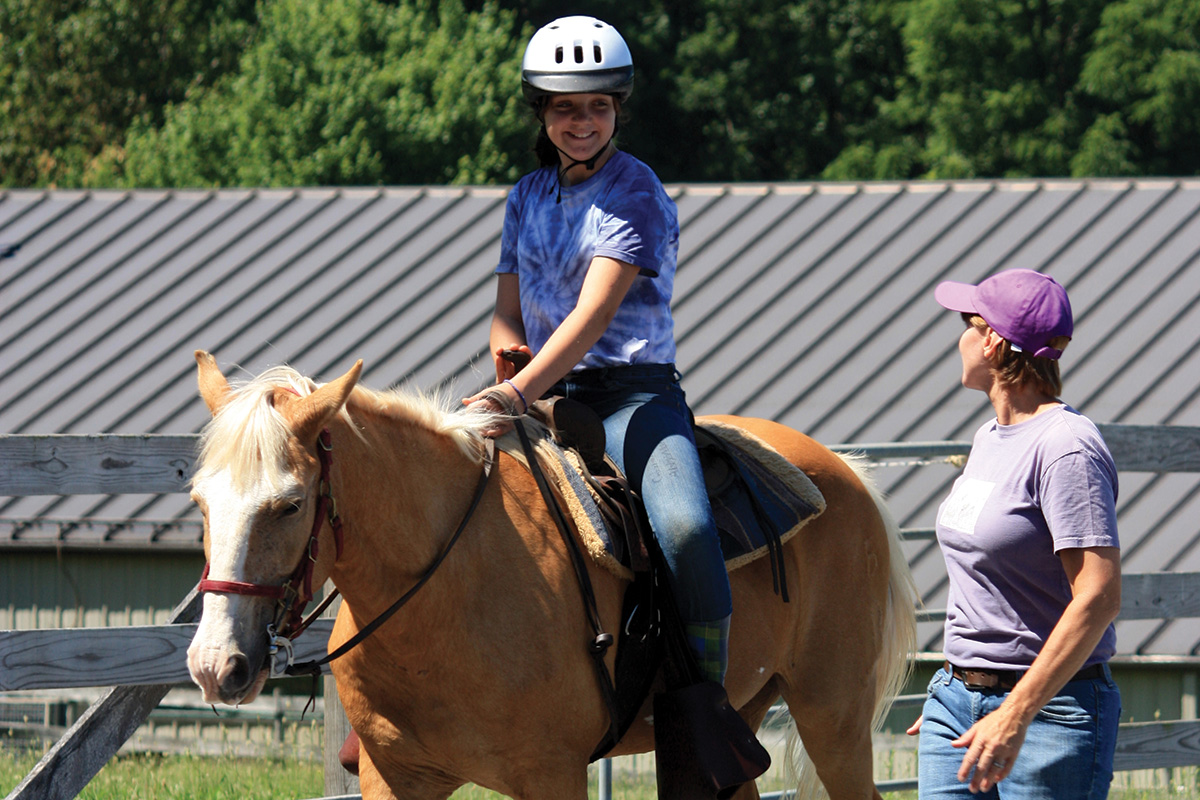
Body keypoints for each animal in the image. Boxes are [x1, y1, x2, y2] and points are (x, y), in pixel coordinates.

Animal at [185, 351, 917, 800]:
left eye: (290, 503)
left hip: (833, 716)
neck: (446, 599)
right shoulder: (393, 776)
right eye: (199, 501)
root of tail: (848, 474)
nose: (215, 666)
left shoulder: (551, 776)